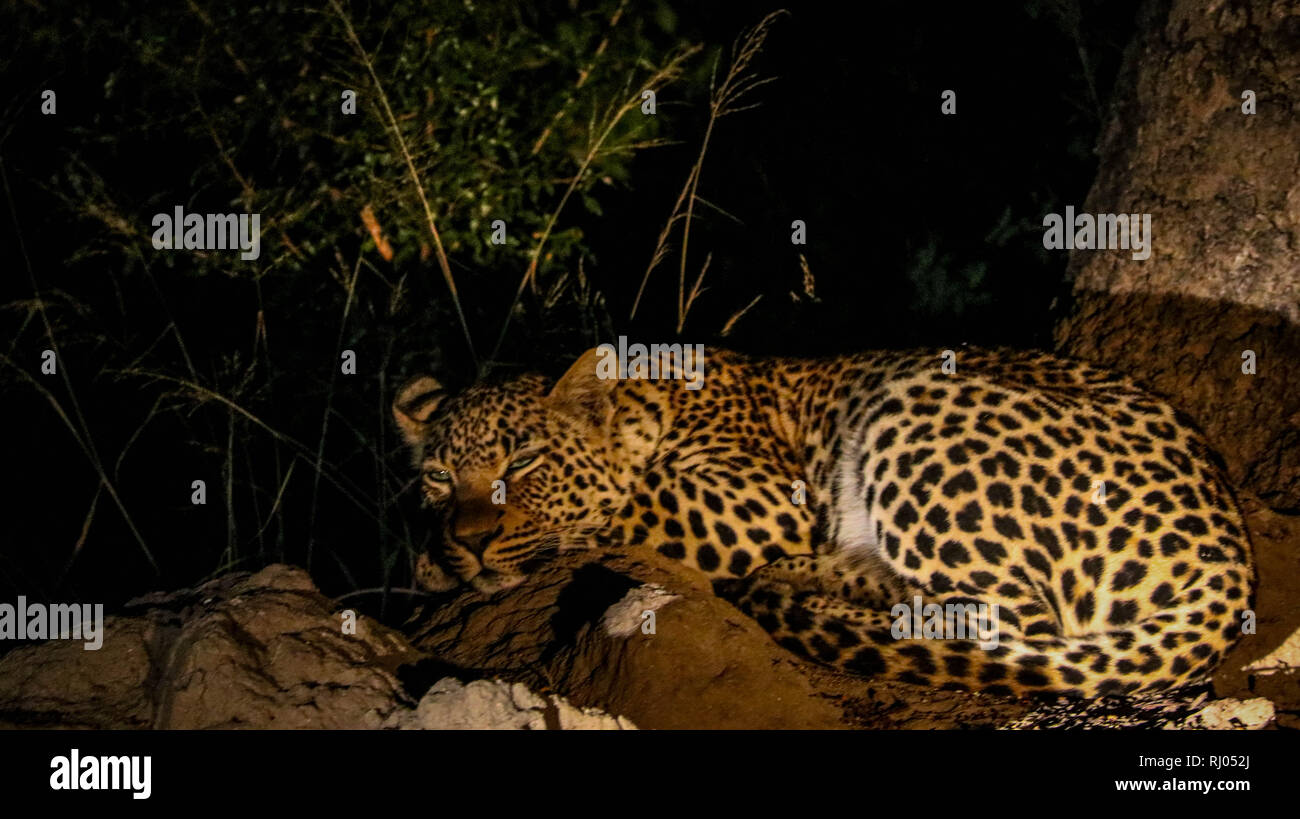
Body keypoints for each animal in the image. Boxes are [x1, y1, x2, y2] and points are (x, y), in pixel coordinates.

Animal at [392, 345, 1254, 698]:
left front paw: (442, 560)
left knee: (1007, 626)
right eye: (437, 478)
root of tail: (1231, 552)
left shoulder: (762, 500)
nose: (469, 539)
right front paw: (437, 554)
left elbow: (630, 504)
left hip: (916, 406)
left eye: (525, 460)